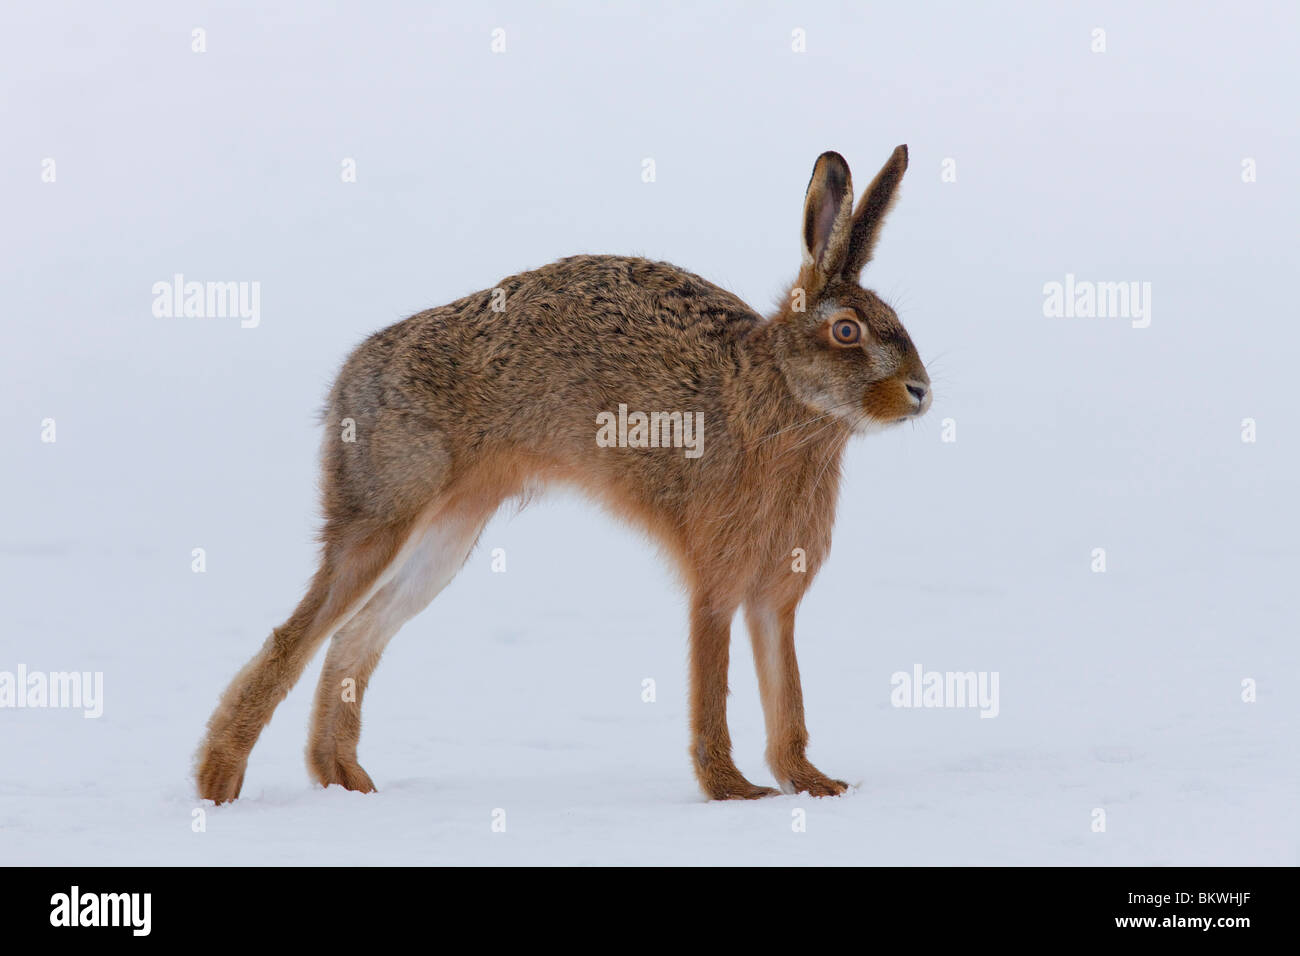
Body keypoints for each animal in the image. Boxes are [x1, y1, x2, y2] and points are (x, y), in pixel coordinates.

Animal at [195, 145, 931, 803]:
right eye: (846, 331)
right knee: (297, 637)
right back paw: (218, 783)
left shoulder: (775, 602)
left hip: (448, 534)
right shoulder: (717, 585)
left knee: (354, 638)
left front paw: (815, 785)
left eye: (898, 322)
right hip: (387, 509)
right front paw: (733, 791)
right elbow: (712, 693)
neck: (782, 399)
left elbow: (789, 702)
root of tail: (349, 376)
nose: (921, 392)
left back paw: (345, 782)